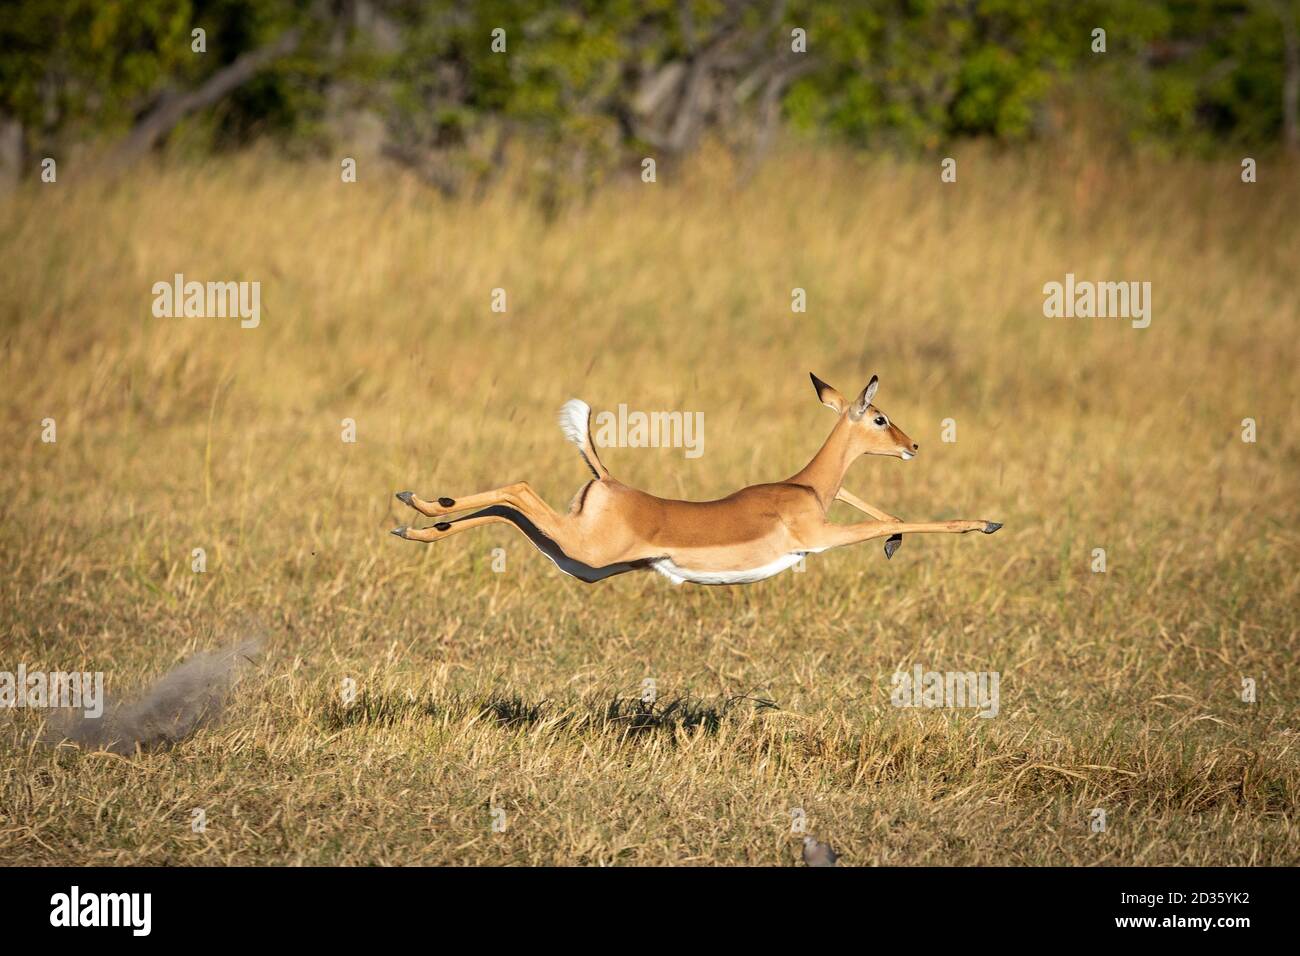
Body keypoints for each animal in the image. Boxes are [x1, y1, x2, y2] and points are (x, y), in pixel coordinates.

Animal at [391, 373, 1002, 585]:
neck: (802, 489)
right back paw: (417, 503)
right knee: (516, 489)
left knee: (505, 509)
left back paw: (416, 517)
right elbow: (894, 521)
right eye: (879, 417)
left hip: (574, 558)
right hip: (581, 548)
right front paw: (984, 523)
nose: (913, 445)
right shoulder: (819, 536)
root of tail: (609, 481)